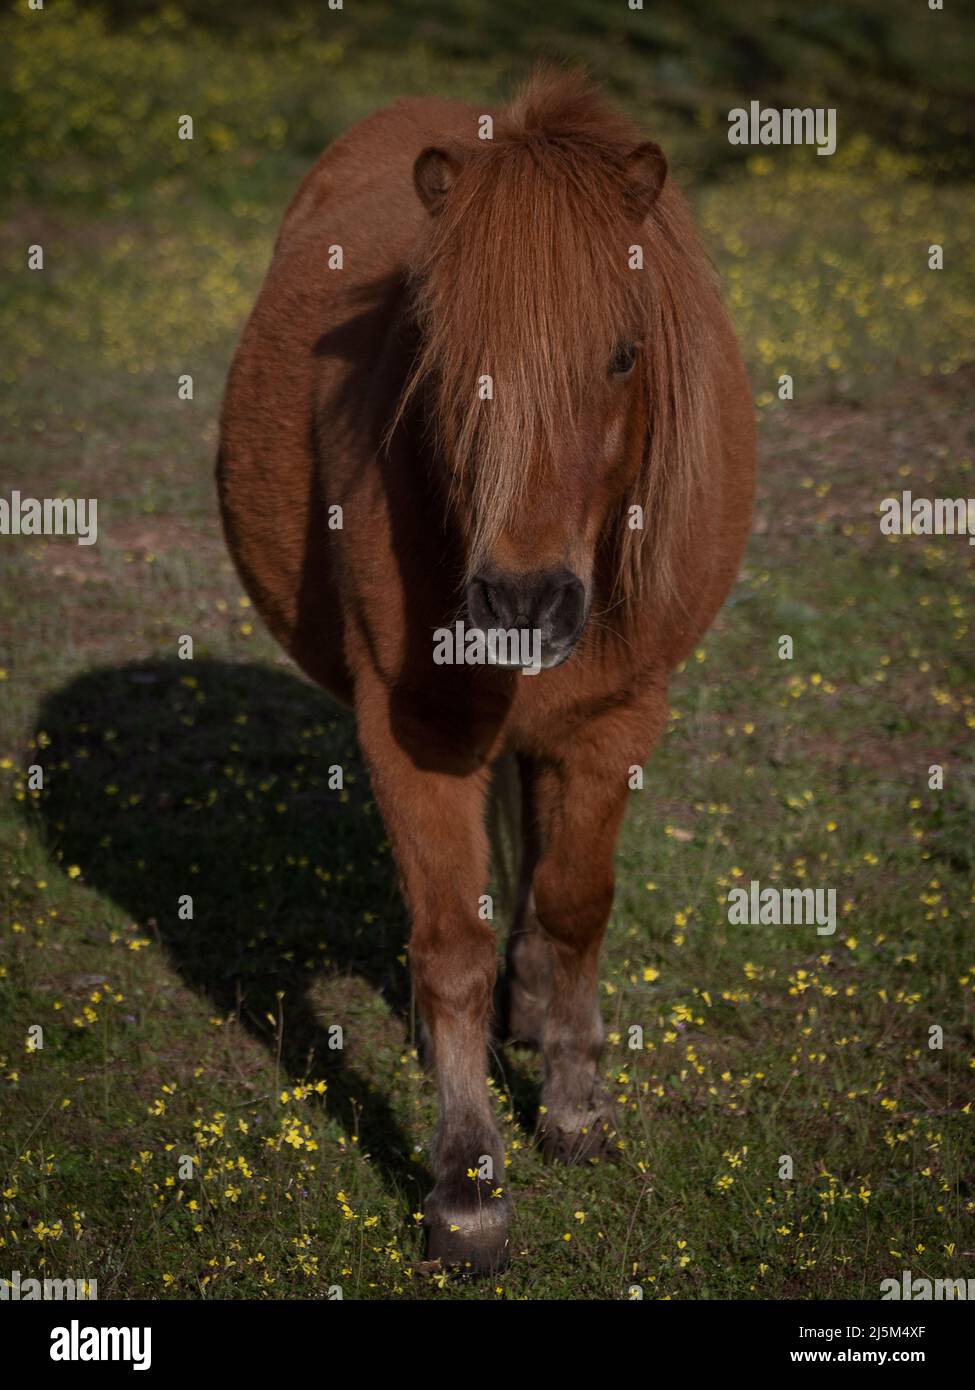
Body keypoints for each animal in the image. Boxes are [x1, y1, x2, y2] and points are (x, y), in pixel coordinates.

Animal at [217, 67, 755, 1274]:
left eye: (622, 355)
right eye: (447, 360)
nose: (521, 604)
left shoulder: (613, 721)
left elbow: (576, 905)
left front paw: (575, 1105)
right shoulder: (414, 731)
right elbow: (449, 946)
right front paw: (467, 1184)